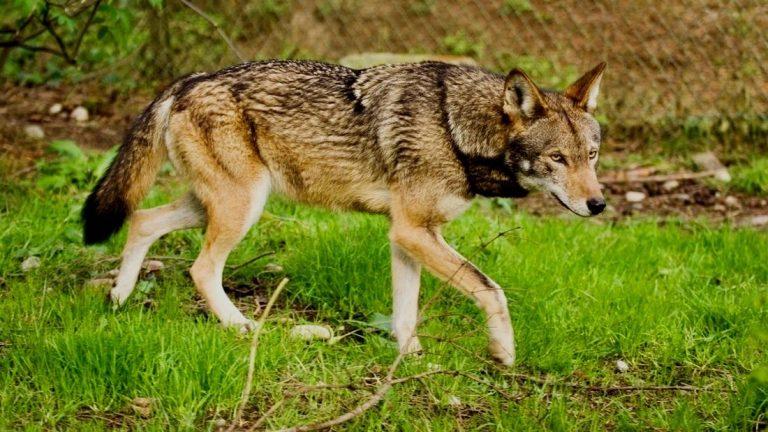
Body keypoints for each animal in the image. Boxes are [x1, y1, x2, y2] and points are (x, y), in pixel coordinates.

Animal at [82, 59, 606, 366]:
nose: (598, 204)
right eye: (557, 159)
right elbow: (491, 290)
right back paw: (241, 327)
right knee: (200, 267)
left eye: (591, 155)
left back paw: (119, 296)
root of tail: (185, 81)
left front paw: (409, 361)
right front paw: (503, 352)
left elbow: (405, 313)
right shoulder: (414, 231)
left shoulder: (406, 236)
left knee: (142, 220)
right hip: (241, 209)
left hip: (219, 205)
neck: (454, 128)